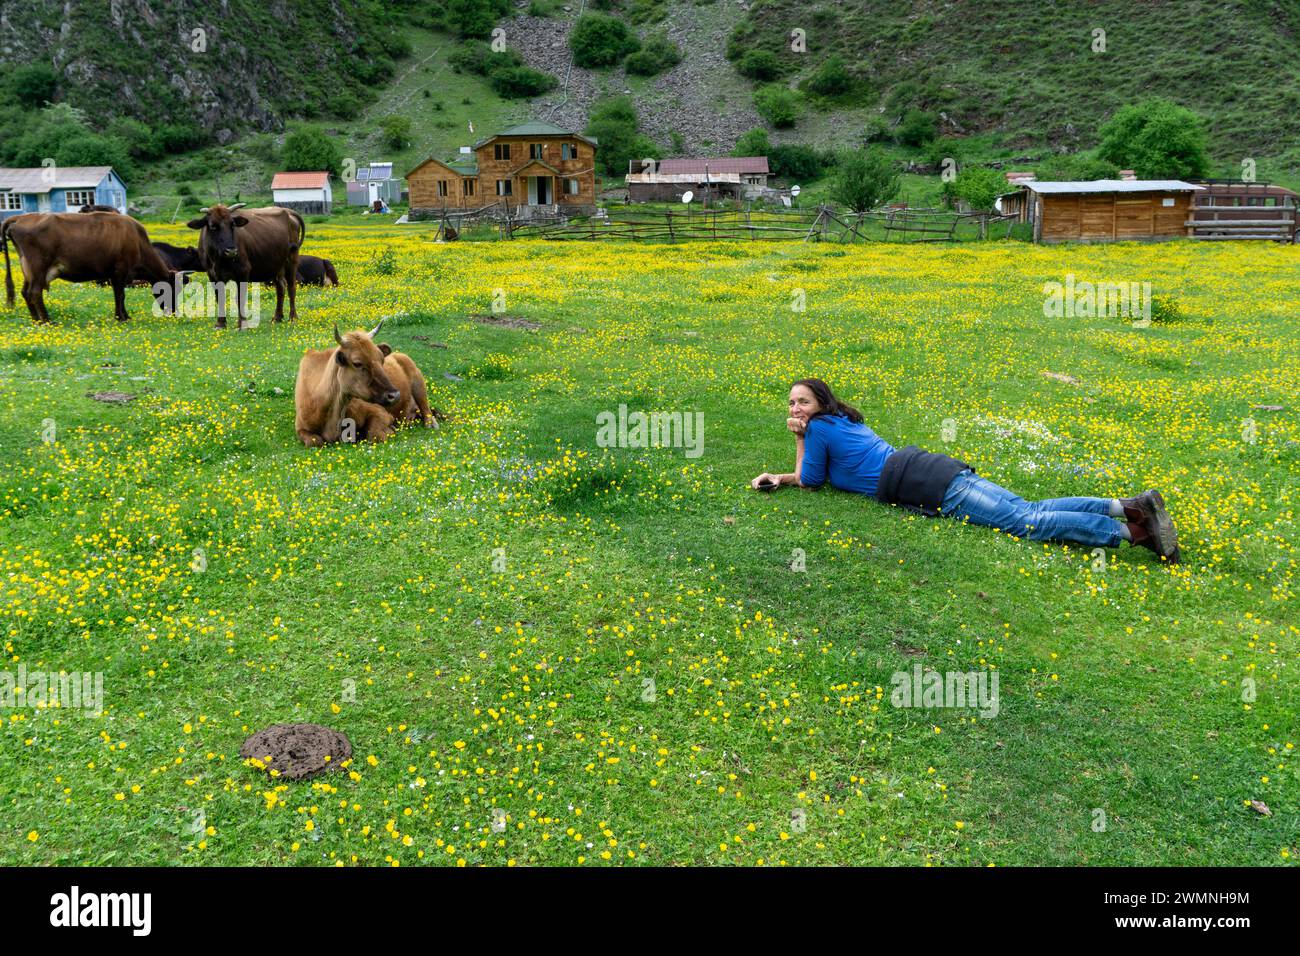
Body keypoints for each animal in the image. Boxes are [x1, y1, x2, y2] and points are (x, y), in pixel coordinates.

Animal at [2, 212, 179, 324]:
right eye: (173, 289)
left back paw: (36, 320)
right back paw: (47, 320)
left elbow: (119, 295)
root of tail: (20, 217)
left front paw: (125, 316)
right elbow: (120, 295)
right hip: (38, 266)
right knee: (34, 292)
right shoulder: (120, 271)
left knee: (25, 292)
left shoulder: (115, 275)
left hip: (28, 268)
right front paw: (121, 318)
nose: (174, 313)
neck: (138, 242)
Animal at [294, 320, 440, 447]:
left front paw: (391, 429)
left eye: (381, 359)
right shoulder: (300, 427)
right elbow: (314, 441)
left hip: (418, 383)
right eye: (357, 363)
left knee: (426, 409)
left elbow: (375, 434)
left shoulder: (380, 412)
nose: (394, 395)